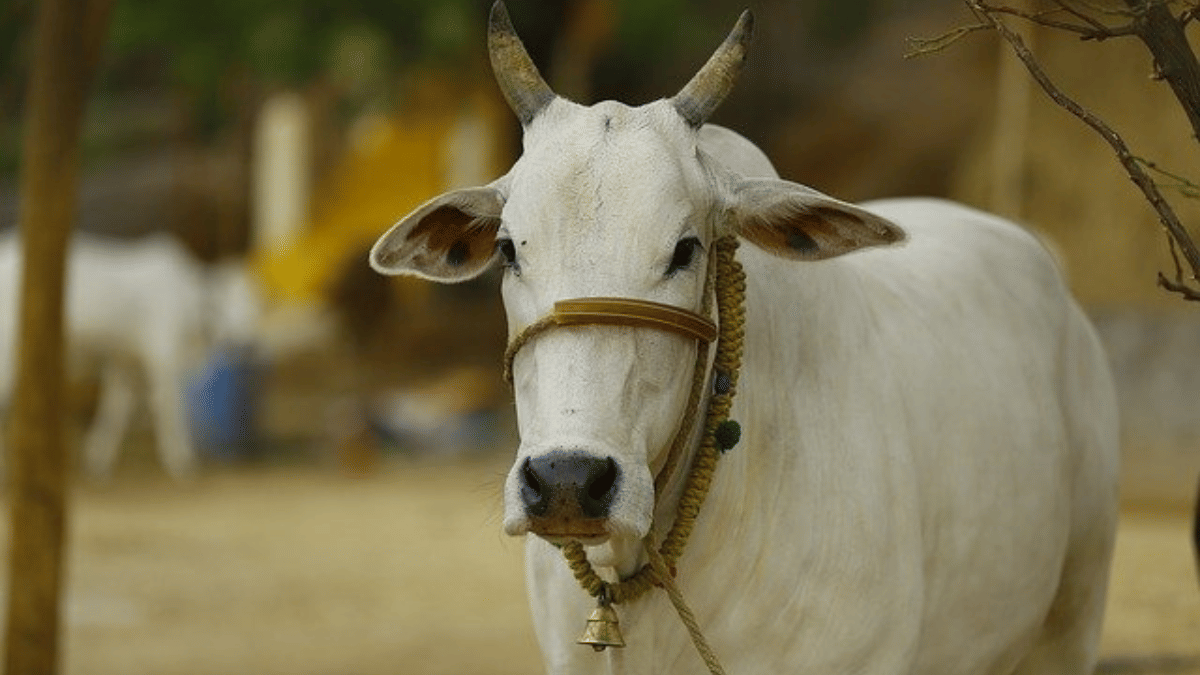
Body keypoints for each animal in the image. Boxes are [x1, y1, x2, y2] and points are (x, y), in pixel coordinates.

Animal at [0, 231, 261, 480]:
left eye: (256, 307)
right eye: (220, 307)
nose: (246, 343)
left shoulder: (125, 363)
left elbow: (116, 410)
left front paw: (97, 460)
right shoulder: (163, 361)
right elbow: (171, 410)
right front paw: (181, 461)